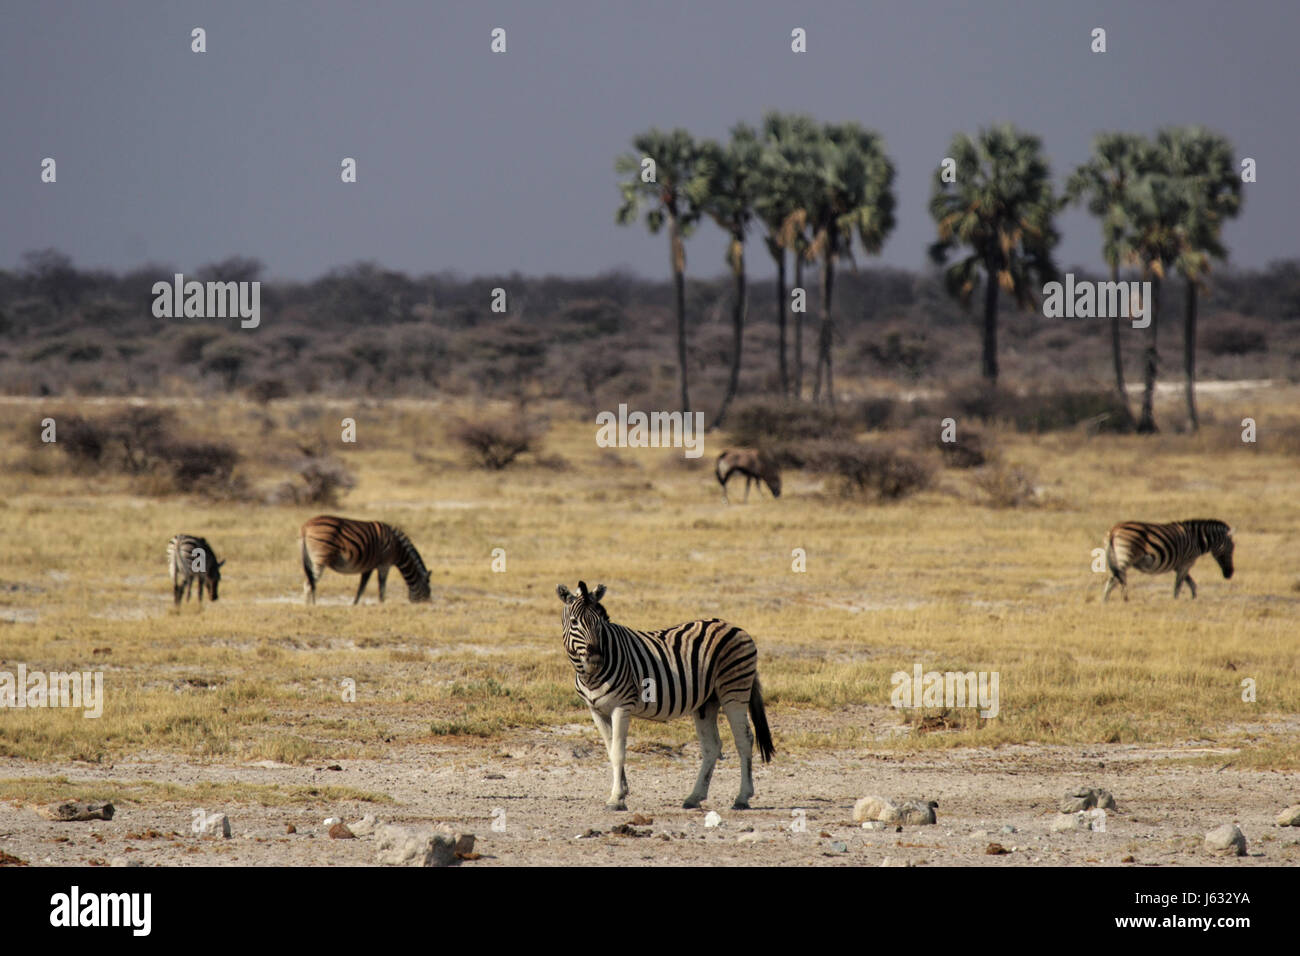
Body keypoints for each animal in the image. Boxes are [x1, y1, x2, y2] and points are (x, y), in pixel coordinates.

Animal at [300, 515, 431, 605]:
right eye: (427, 591)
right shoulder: (385, 564)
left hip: (310, 560)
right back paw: (311, 606)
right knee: (309, 584)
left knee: (310, 582)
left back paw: (310, 604)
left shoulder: (369, 567)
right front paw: (382, 603)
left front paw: (354, 604)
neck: (398, 548)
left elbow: (361, 588)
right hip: (320, 559)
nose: (428, 604)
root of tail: (306, 527)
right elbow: (382, 586)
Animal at [557, 580, 774, 811]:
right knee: (712, 746)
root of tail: (735, 627)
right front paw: (622, 792)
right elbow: (610, 749)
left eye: (599, 622)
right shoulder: (596, 710)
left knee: (744, 739)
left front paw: (616, 798)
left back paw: (742, 797)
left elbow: (618, 752)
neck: (591, 676)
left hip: (734, 691)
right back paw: (694, 797)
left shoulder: (622, 706)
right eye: (574, 622)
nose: (597, 659)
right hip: (707, 702)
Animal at [1103, 519, 1234, 601]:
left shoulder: (1179, 565)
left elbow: (1190, 582)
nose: (1229, 574)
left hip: (1116, 558)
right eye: (1232, 548)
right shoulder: (1186, 562)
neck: (1197, 540)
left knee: (1114, 579)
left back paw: (1105, 601)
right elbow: (1179, 584)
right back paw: (1124, 599)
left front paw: (1193, 598)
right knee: (1116, 579)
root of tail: (1115, 529)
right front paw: (1176, 600)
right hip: (1126, 557)